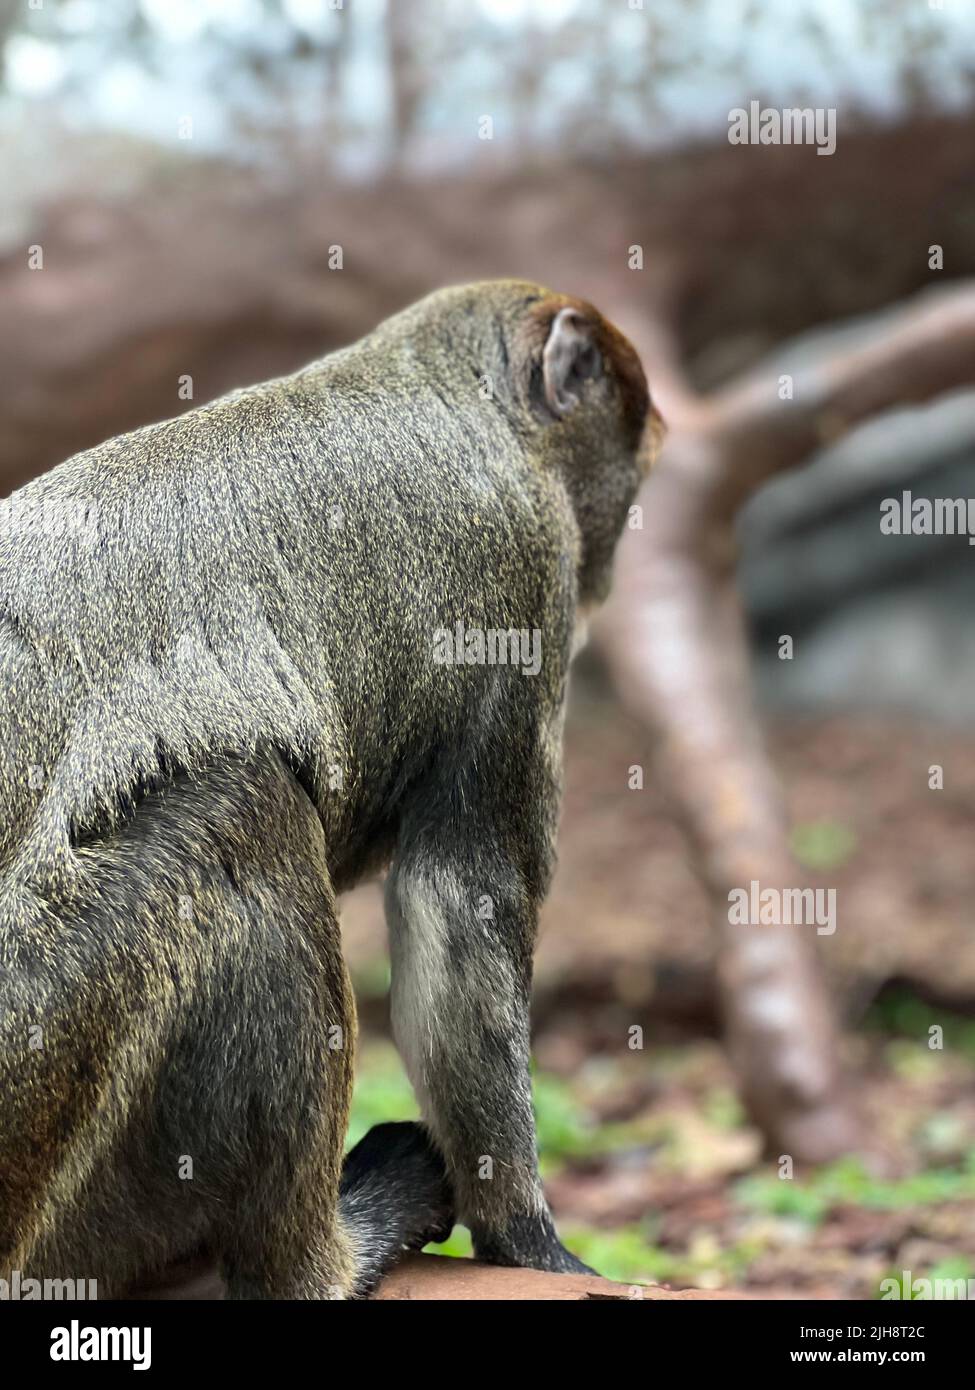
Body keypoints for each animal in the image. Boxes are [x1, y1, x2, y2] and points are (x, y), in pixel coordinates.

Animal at [0, 279, 659, 1291]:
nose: (610, 572)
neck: (443, 382)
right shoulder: (521, 575)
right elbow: (462, 899)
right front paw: (530, 1239)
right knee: (245, 807)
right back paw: (324, 1261)